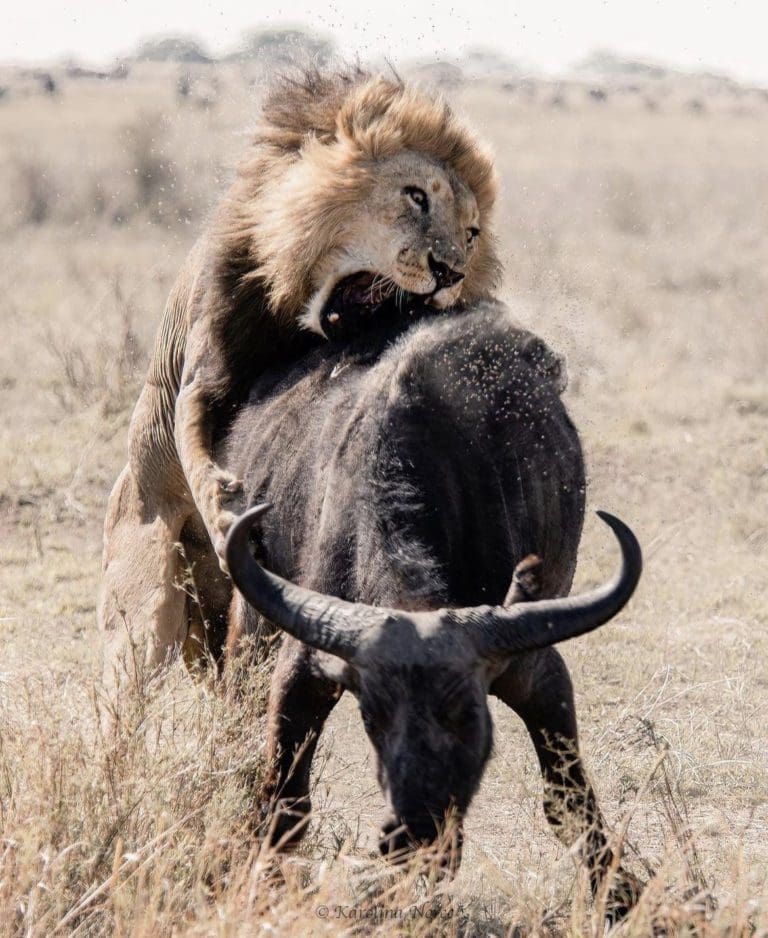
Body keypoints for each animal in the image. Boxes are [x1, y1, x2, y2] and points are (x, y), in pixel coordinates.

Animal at [98, 66, 502, 680]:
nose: (450, 272)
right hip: (141, 614)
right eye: (416, 197)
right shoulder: (203, 373)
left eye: (472, 233)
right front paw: (224, 515)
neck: (294, 311)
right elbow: (193, 444)